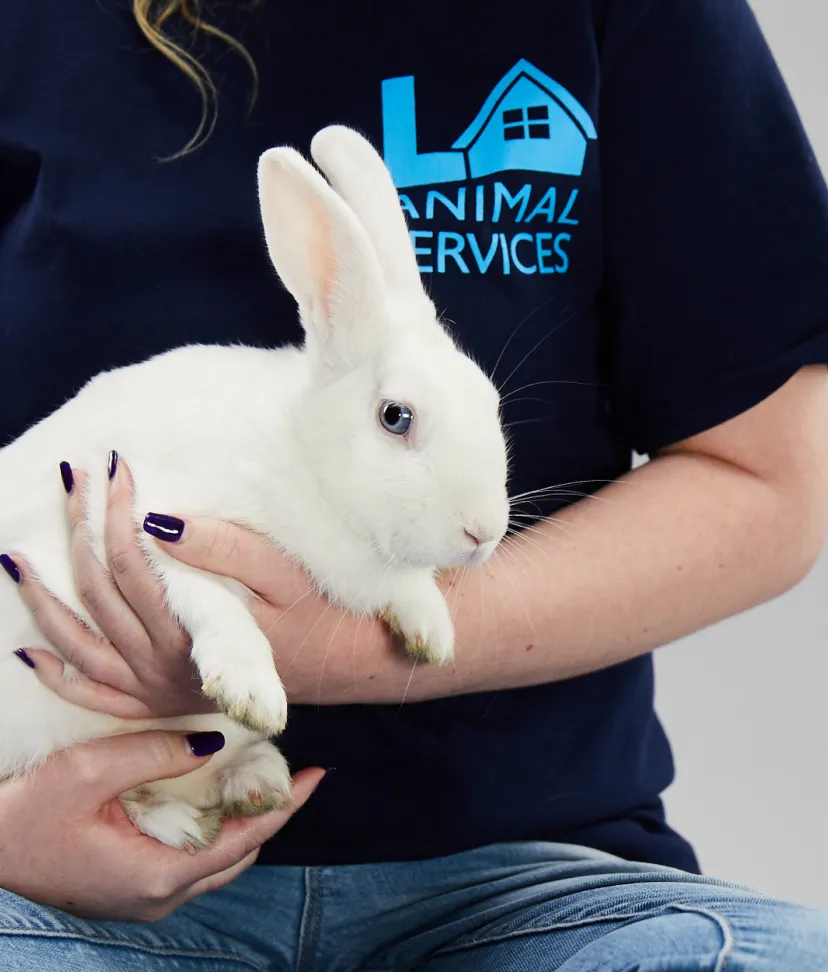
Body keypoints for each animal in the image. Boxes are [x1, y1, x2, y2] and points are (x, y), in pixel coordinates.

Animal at [0, 126, 510, 852]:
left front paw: (432, 633)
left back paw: (255, 783)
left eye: (490, 401)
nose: (483, 533)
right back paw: (183, 823)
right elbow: (203, 595)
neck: (307, 462)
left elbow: (410, 588)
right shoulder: (132, 521)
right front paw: (252, 691)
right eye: (395, 417)